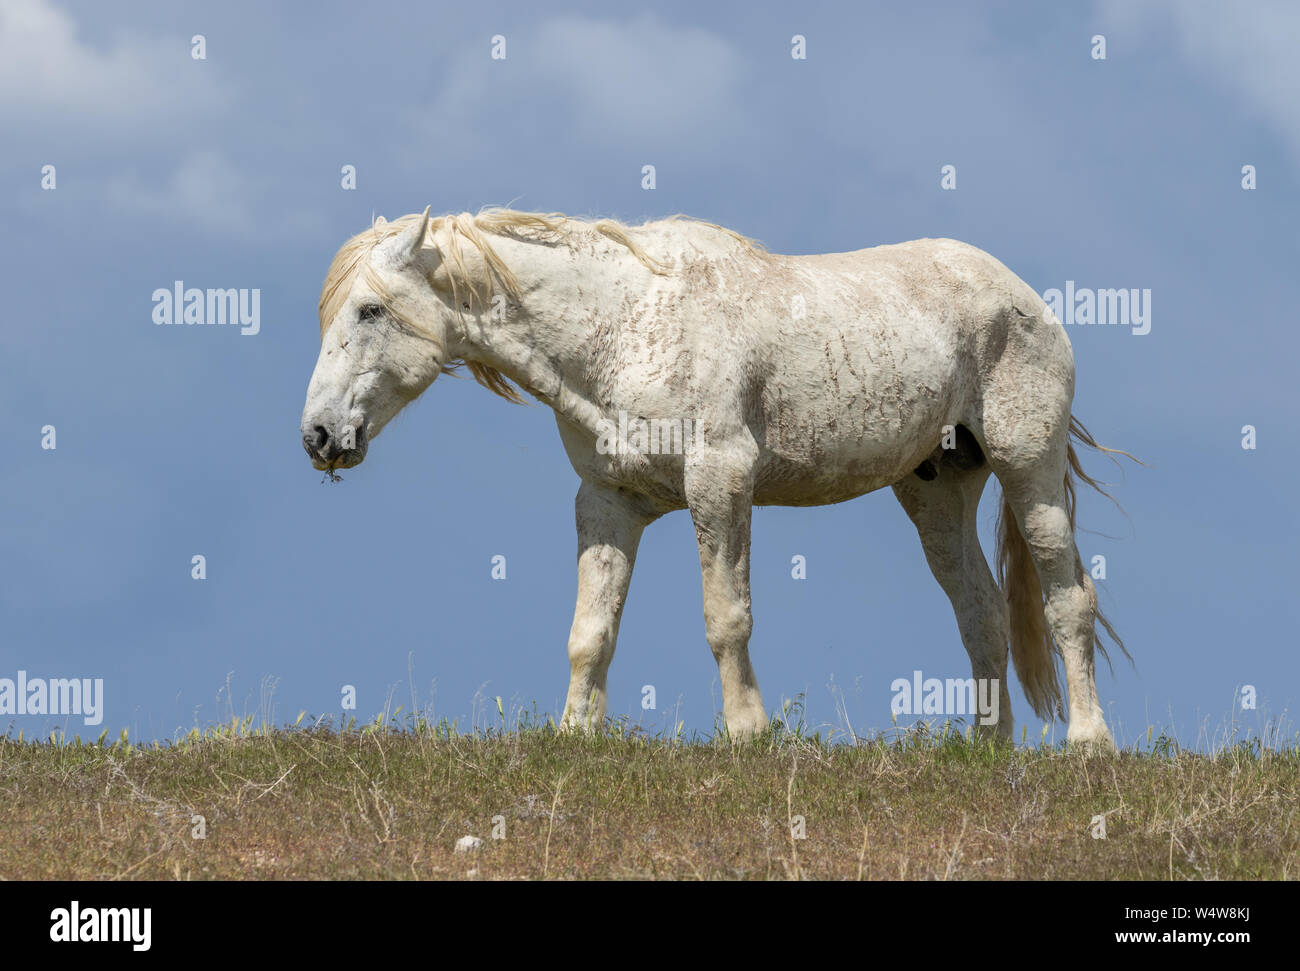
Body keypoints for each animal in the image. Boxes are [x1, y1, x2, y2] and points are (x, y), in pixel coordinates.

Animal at [300, 207, 1131, 749]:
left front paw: (746, 732)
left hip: (1028, 472)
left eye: (370, 310)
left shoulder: (721, 484)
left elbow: (726, 617)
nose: (319, 436)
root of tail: (1027, 299)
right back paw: (987, 753)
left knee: (1068, 599)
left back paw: (1089, 740)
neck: (623, 326)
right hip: (936, 492)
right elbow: (590, 630)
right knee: (982, 614)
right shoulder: (607, 503)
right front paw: (575, 735)